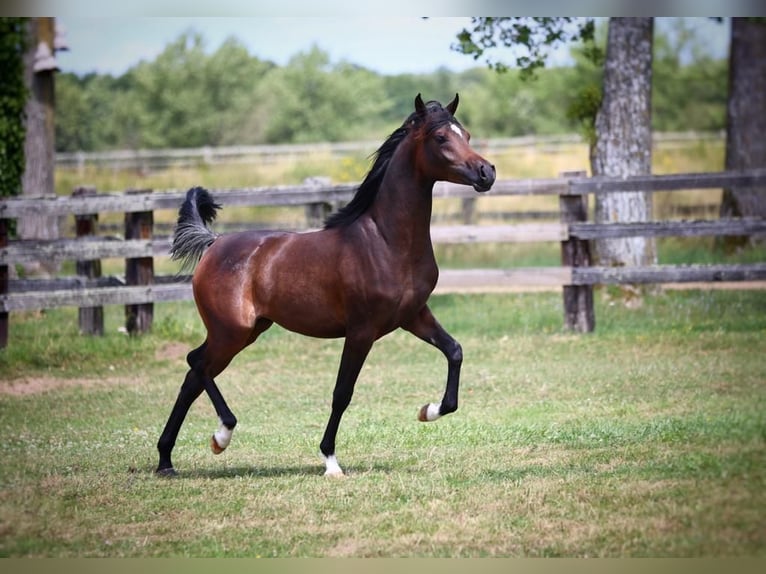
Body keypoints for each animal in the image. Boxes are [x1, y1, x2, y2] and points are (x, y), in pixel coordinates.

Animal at [156, 93, 496, 477]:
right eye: (440, 138)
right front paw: (330, 461)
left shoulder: (413, 315)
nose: (486, 173)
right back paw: (221, 435)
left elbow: (455, 351)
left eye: (466, 134)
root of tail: (214, 244)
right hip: (231, 331)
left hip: (247, 331)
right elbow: (342, 392)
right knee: (195, 364)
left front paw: (428, 411)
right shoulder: (362, 330)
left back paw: (167, 460)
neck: (386, 241)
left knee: (193, 375)